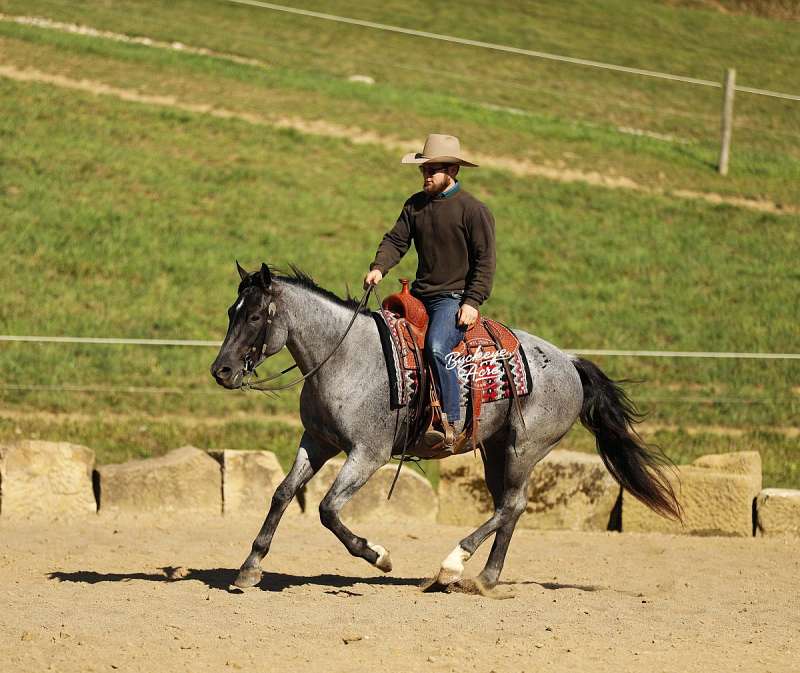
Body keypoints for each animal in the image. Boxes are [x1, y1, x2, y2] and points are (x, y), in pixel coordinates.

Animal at [210, 263, 681, 592]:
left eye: (255, 317)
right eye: (231, 311)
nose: (222, 371)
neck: (344, 356)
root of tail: (570, 361)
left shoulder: (367, 453)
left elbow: (327, 509)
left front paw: (378, 555)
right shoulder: (318, 442)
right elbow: (282, 493)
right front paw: (249, 568)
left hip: (524, 448)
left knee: (512, 505)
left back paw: (452, 564)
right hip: (496, 451)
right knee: (508, 507)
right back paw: (484, 579)